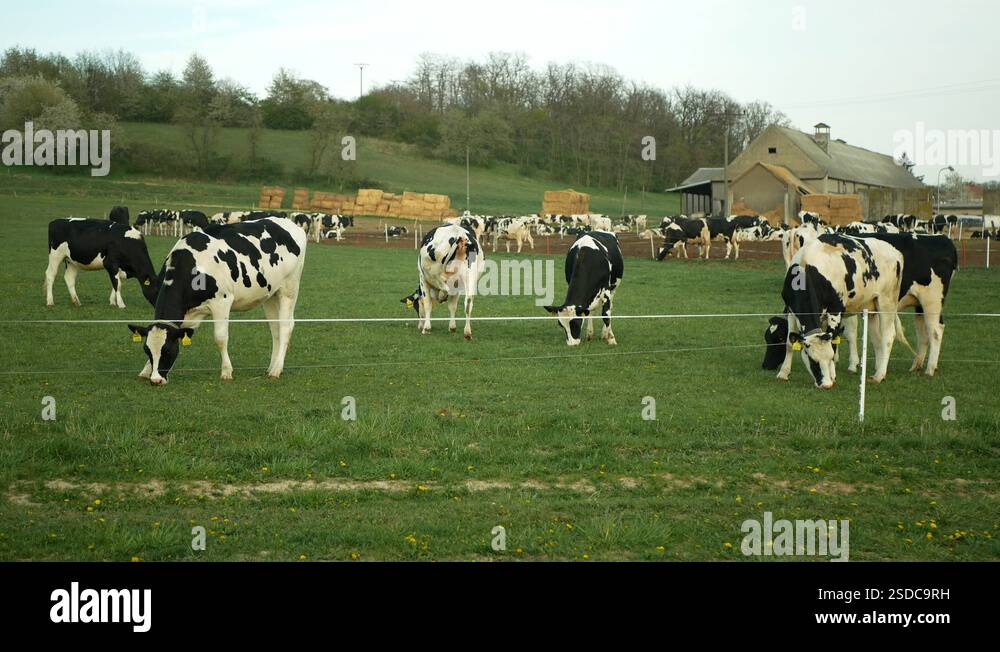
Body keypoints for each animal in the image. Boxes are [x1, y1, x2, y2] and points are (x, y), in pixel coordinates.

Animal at [126, 217, 307, 385]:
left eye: (168, 351)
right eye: (147, 351)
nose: (156, 380)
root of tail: (288, 222)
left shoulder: (222, 301)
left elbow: (220, 338)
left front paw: (226, 371)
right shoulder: (188, 314)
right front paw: (146, 370)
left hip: (289, 289)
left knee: (285, 327)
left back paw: (276, 370)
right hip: (270, 295)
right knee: (275, 328)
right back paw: (272, 367)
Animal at [776, 234, 905, 388]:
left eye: (830, 358)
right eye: (813, 360)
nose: (826, 385)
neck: (806, 265)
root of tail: (895, 251)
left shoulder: (835, 310)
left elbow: (833, 342)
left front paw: (833, 375)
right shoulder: (791, 310)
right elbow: (790, 343)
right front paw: (783, 373)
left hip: (887, 302)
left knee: (888, 336)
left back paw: (879, 375)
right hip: (871, 308)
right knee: (877, 338)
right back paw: (878, 369)